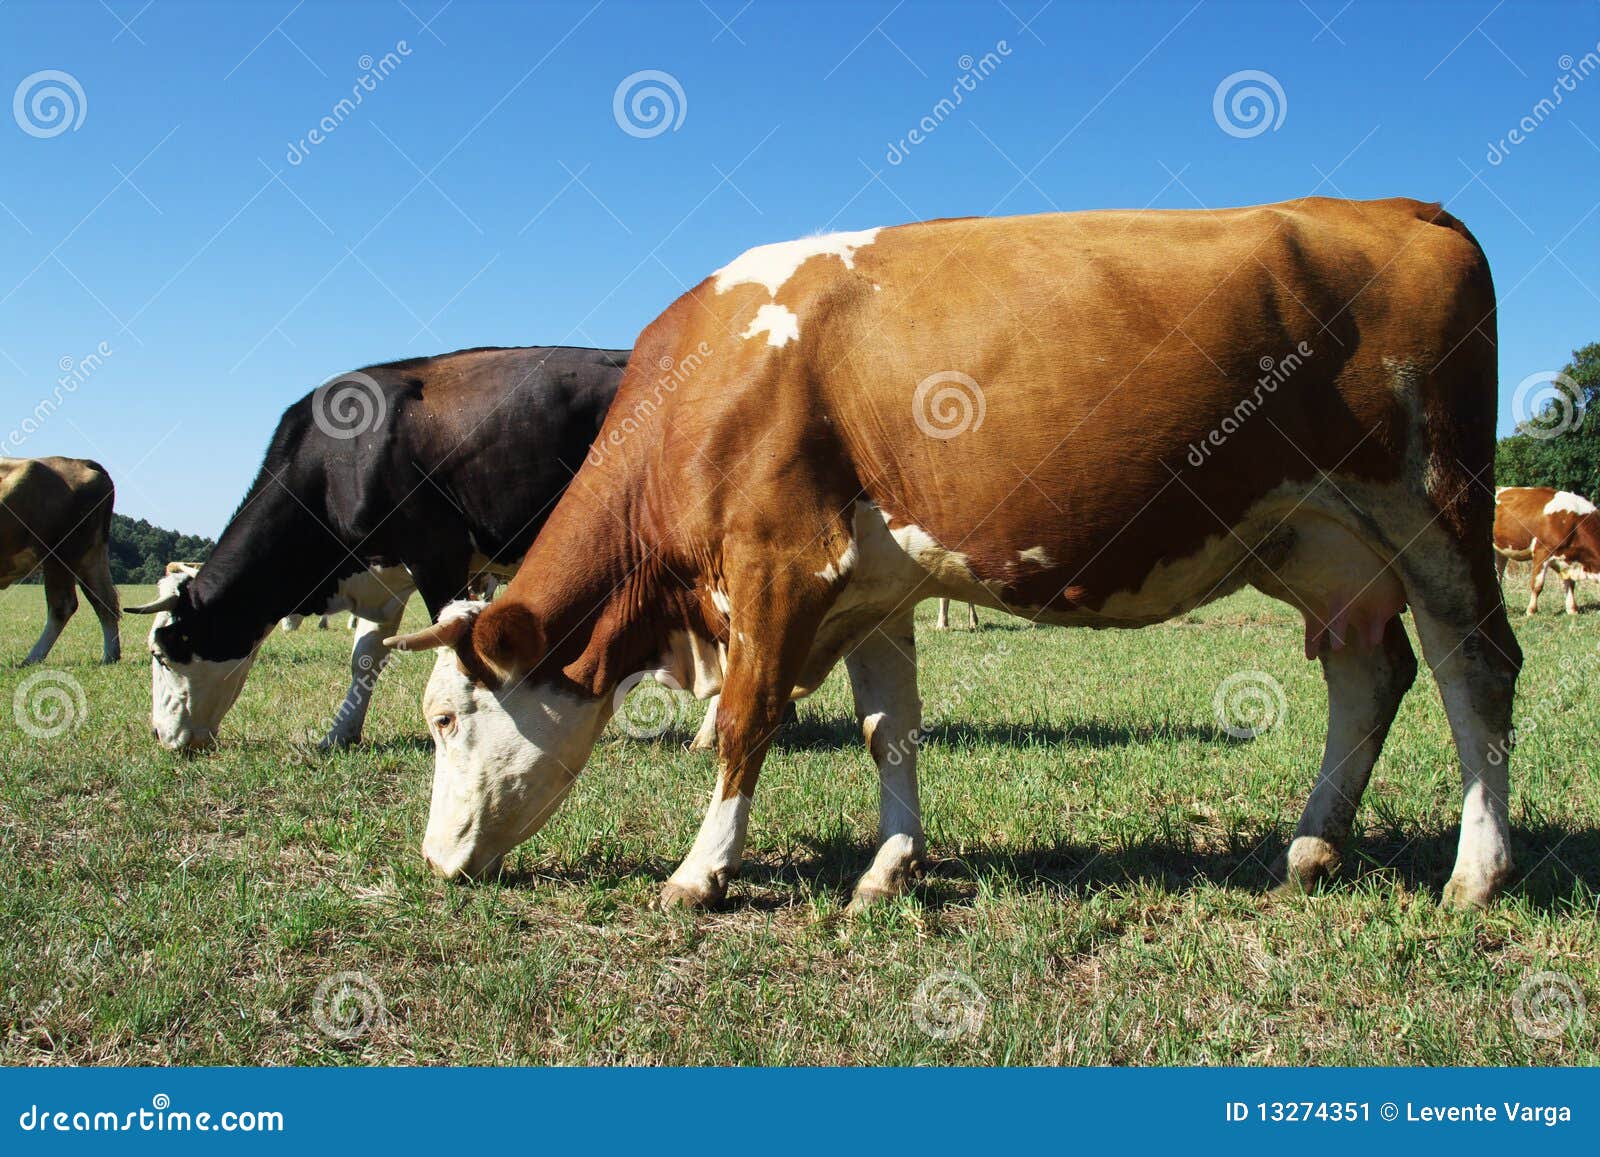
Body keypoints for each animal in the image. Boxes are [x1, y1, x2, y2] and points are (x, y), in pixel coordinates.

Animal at [1, 456, 120, 664]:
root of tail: (80, 462)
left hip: (59, 553)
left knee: (63, 605)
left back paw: (33, 657)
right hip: (93, 553)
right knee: (104, 599)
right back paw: (109, 656)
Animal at [127, 345, 628, 751]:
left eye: (160, 655)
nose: (158, 735)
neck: (339, 461)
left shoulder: (438, 558)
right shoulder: (380, 578)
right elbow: (364, 659)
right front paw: (339, 734)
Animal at [386, 198, 1520, 913]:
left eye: (445, 718)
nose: (435, 860)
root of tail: (1409, 208)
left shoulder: (775, 562)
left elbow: (744, 724)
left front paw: (699, 873)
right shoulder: (873, 585)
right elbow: (889, 727)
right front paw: (888, 865)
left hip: (1433, 511)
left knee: (1475, 668)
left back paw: (1477, 871)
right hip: (1320, 541)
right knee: (1368, 671)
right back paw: (1312, 843)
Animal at [1492, 486, 1600, 615]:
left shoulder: (1565, 559)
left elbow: (1570, 583)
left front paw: (1572, 609)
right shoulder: (1541, 552)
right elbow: (1537, 585)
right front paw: (1531, 611)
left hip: (1500, 551)